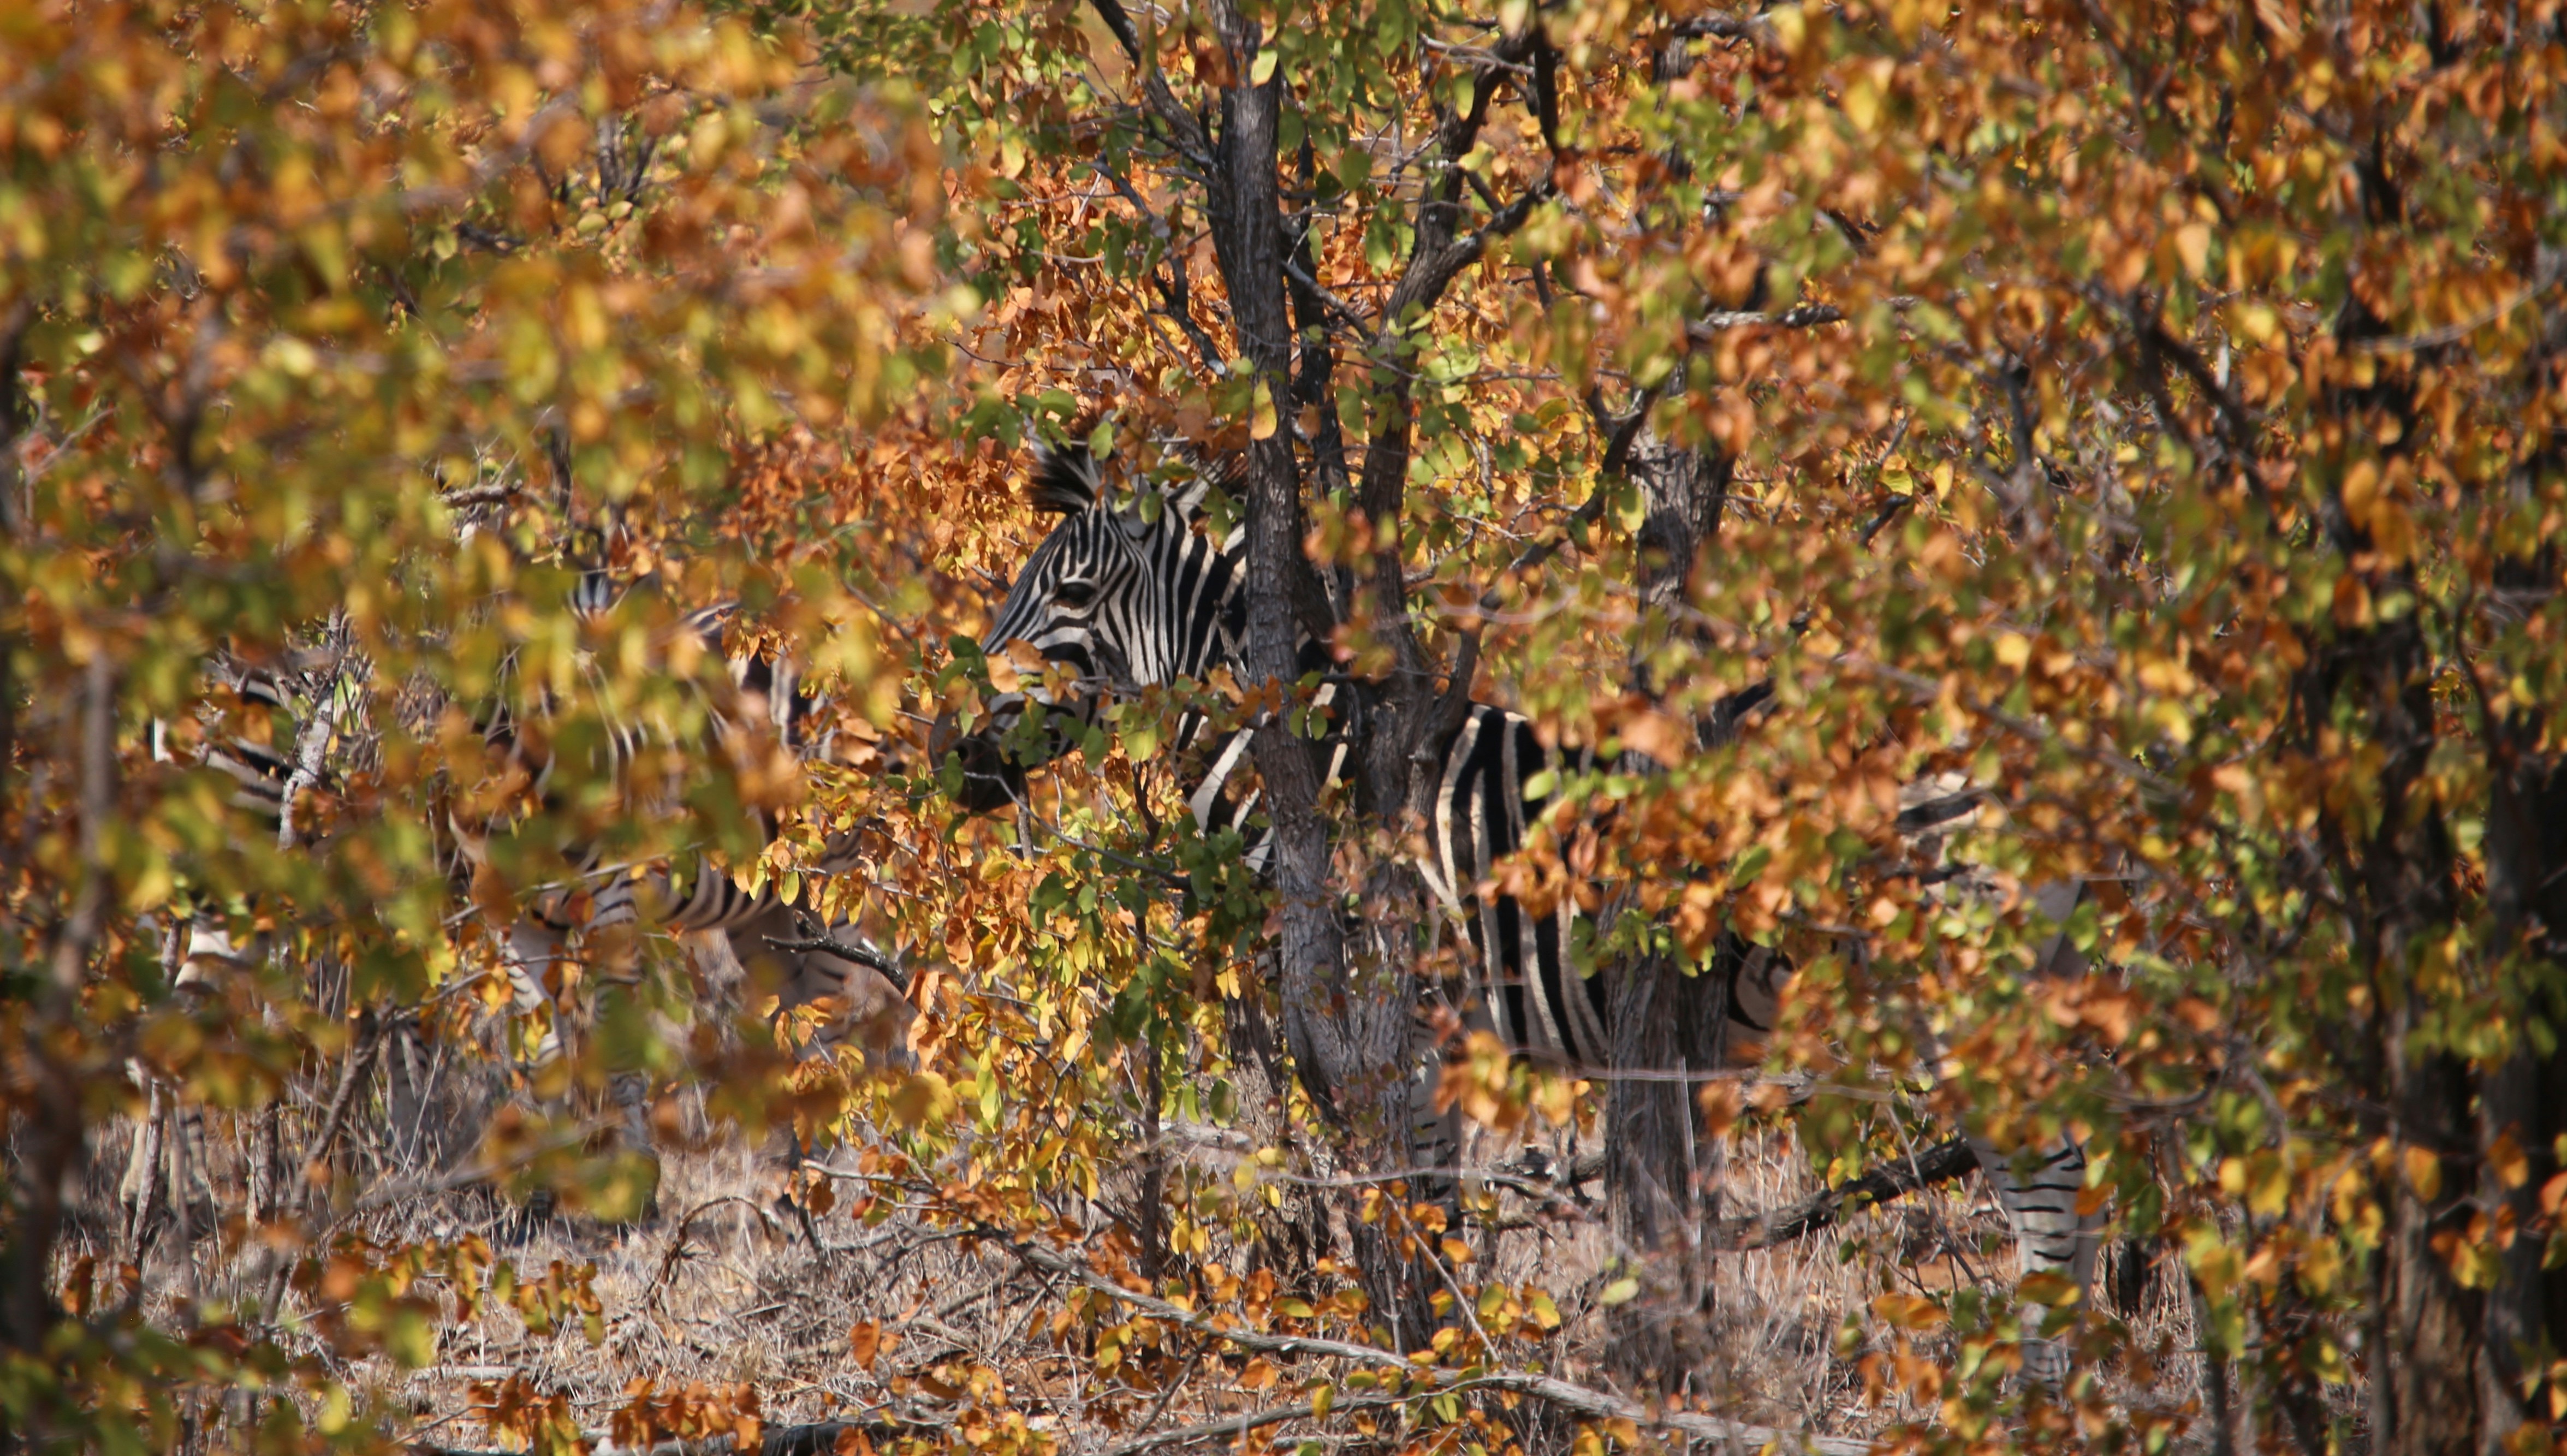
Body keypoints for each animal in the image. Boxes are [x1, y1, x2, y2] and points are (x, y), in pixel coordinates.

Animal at [928, 441, 2104, 1384]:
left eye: (1072, 591)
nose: (948, 755)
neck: (1329, 770)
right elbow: (1446, 1212)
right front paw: (1460, 1363)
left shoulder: (1406, 1021)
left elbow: (1418, 1207)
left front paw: (1431, 1371)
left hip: (1956, 977)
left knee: (2046, 1181)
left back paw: (2039, 1390)